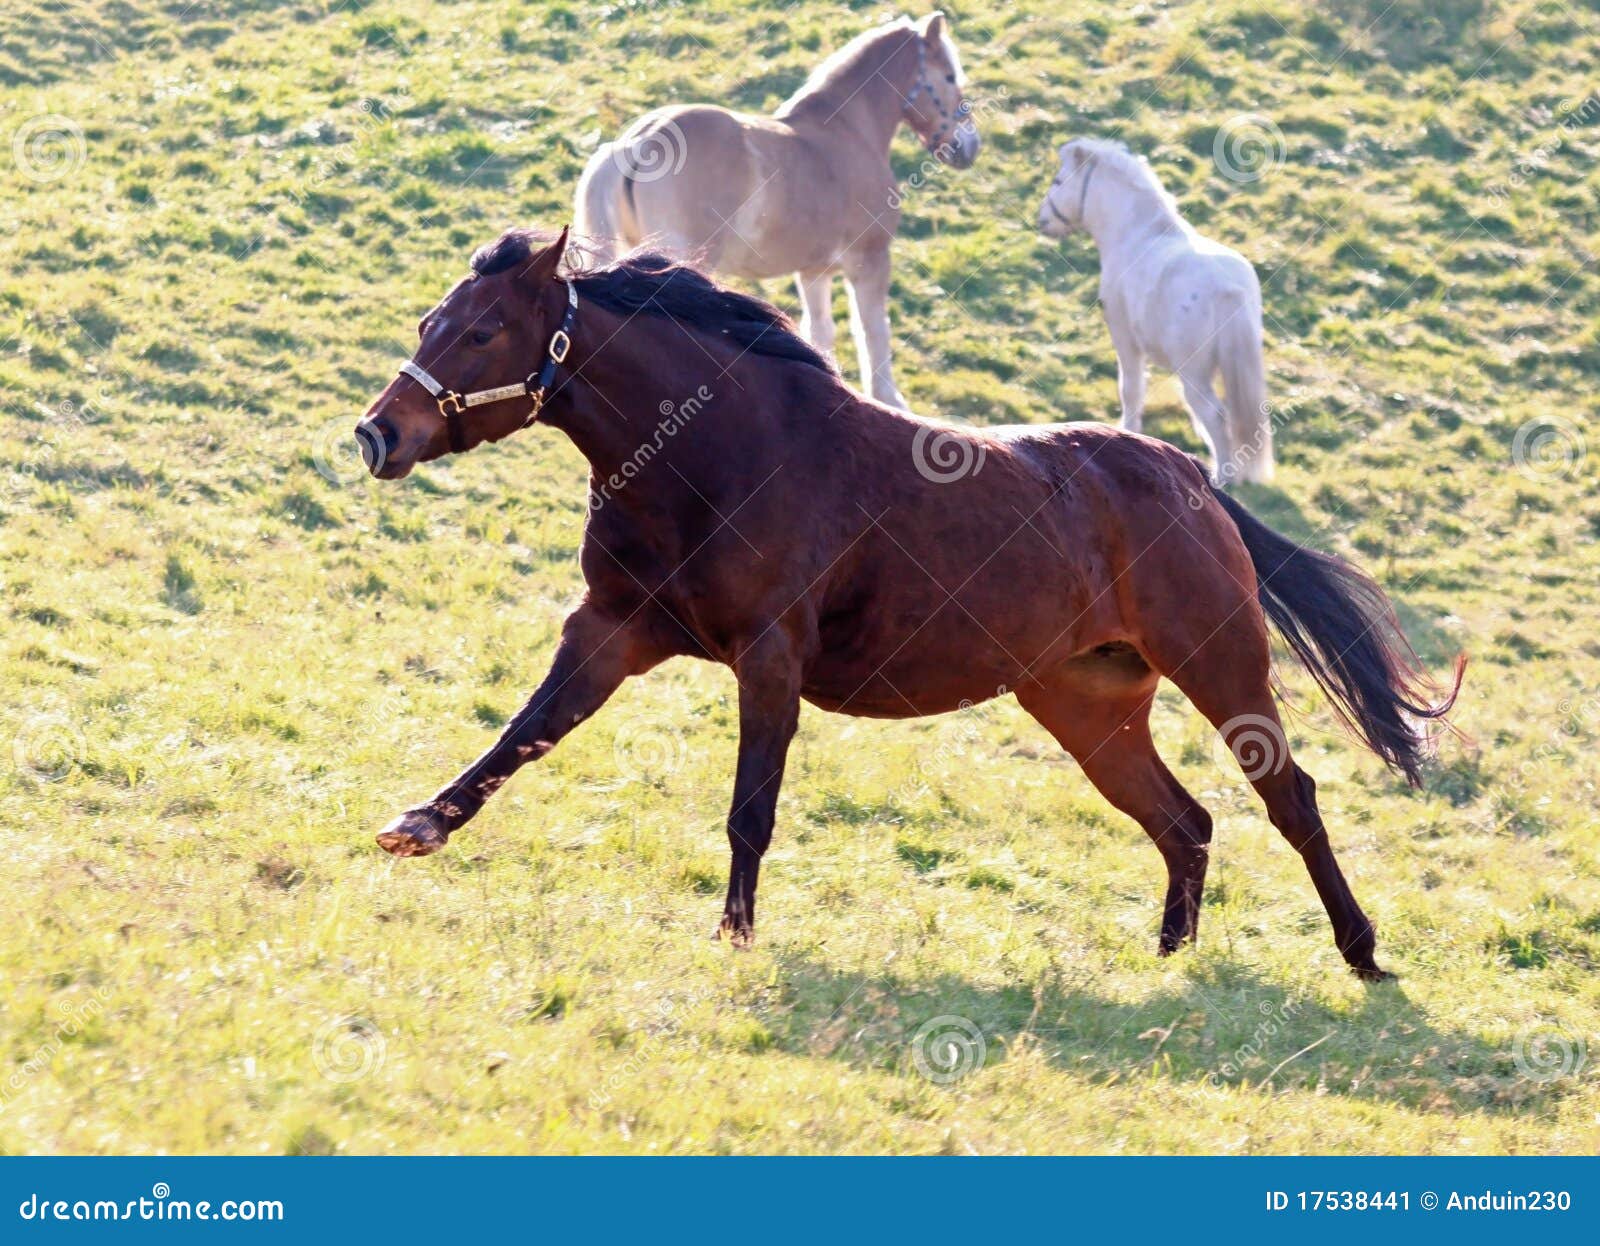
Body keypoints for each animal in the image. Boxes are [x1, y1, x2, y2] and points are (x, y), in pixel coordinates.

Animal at [353, 226, 1461, 980]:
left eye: (483, 330)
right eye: (429, 323)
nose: (379, 434)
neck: (719, 454)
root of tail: (1190, 477)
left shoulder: (768, 658)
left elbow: (749, 809)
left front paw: (734, 934)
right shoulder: (612, 629)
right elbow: (524, 734)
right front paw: (419, 824)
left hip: (1220, 665)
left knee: (1289, 798)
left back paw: (1362, 952)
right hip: (1085, 706)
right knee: (1184, 822)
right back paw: (1168, 958)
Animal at [573, 11, 980, 411]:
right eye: (949, 76)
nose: (969, 146)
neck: (848, 134)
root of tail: (635, 143)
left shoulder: (815, 270)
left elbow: (820, 331)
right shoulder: (870, 260)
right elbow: (873, 330)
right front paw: (889, 399)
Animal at [1038, 138, 1274, 486]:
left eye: (1058, 181)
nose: (1041, 220)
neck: (1138, 232)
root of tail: (1229, 290)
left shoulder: (1124, 337)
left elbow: (1131, 389)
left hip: (1194, 373)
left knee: (1215, 415)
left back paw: (1222, 475)